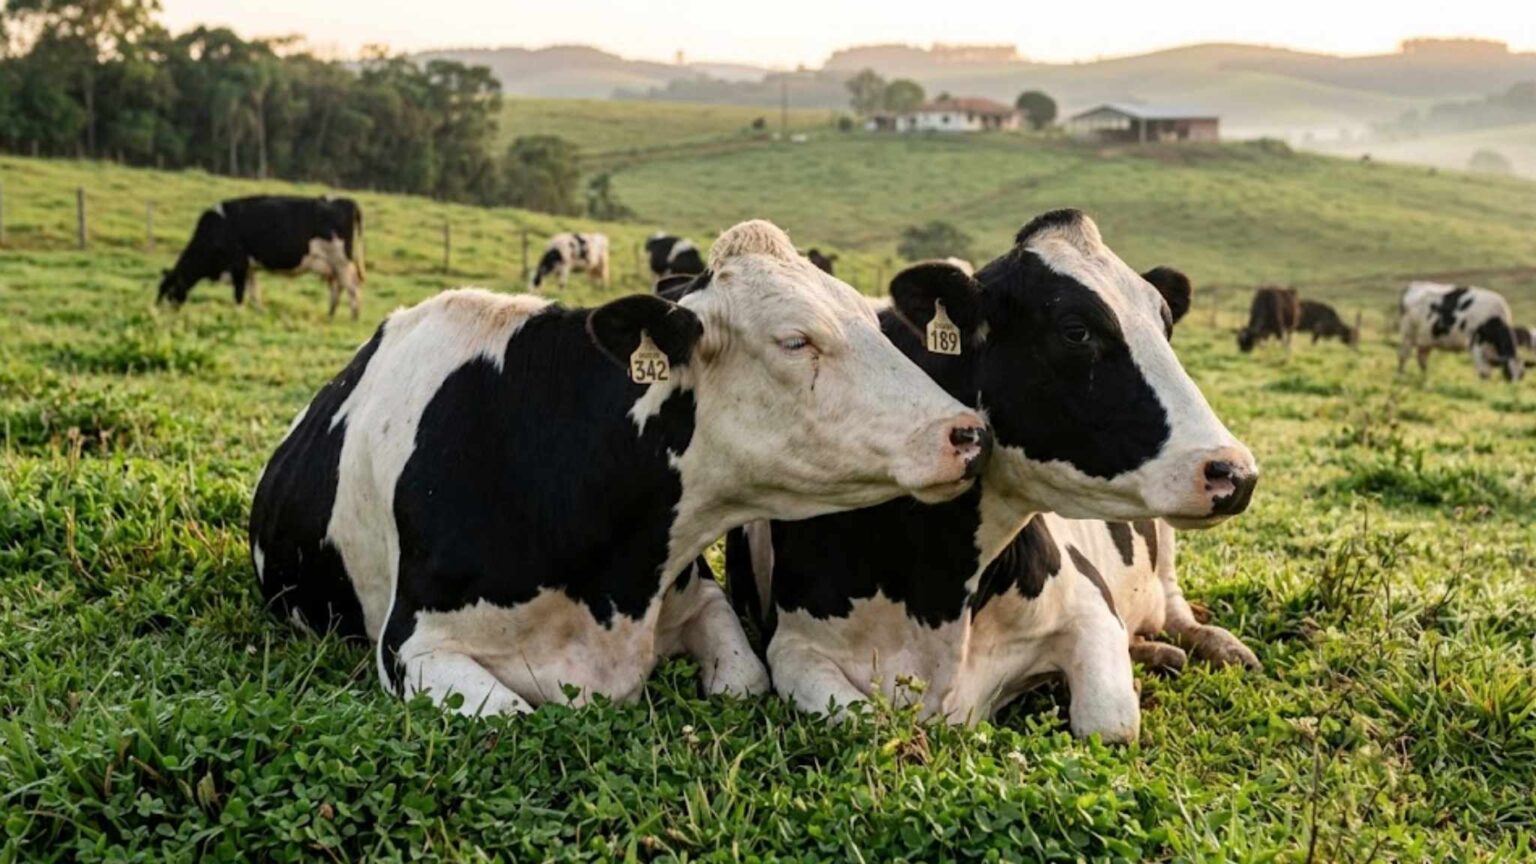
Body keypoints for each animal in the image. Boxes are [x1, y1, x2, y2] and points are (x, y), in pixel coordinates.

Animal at [157, 195, 365, 320]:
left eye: (169, 291)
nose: (156, 312)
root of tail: (344, 200)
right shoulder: (250, 267)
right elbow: (253, 292)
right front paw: (260, 311)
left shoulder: (239, 264)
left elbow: (239, 293)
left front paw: (238, 314)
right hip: (332, 265)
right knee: (338, 287)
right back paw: (331, 314)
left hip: (341, 261)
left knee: (353, 288)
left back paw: (354, 317)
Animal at [248, 219, 991, 716]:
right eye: (795, 340)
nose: (967, 432)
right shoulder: (414, 647)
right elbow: (508, 717)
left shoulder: (701, 596)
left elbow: (744, 681)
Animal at [725, 211, 1258, 743]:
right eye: (1075, 331)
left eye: (1166, 326)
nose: (1236, 472)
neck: (938, 589)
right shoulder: (793, 646)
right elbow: (859, 718)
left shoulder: (1090, 606)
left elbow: (1110, 721)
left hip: (1164, 543)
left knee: (1174, 607)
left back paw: (1218, 646)